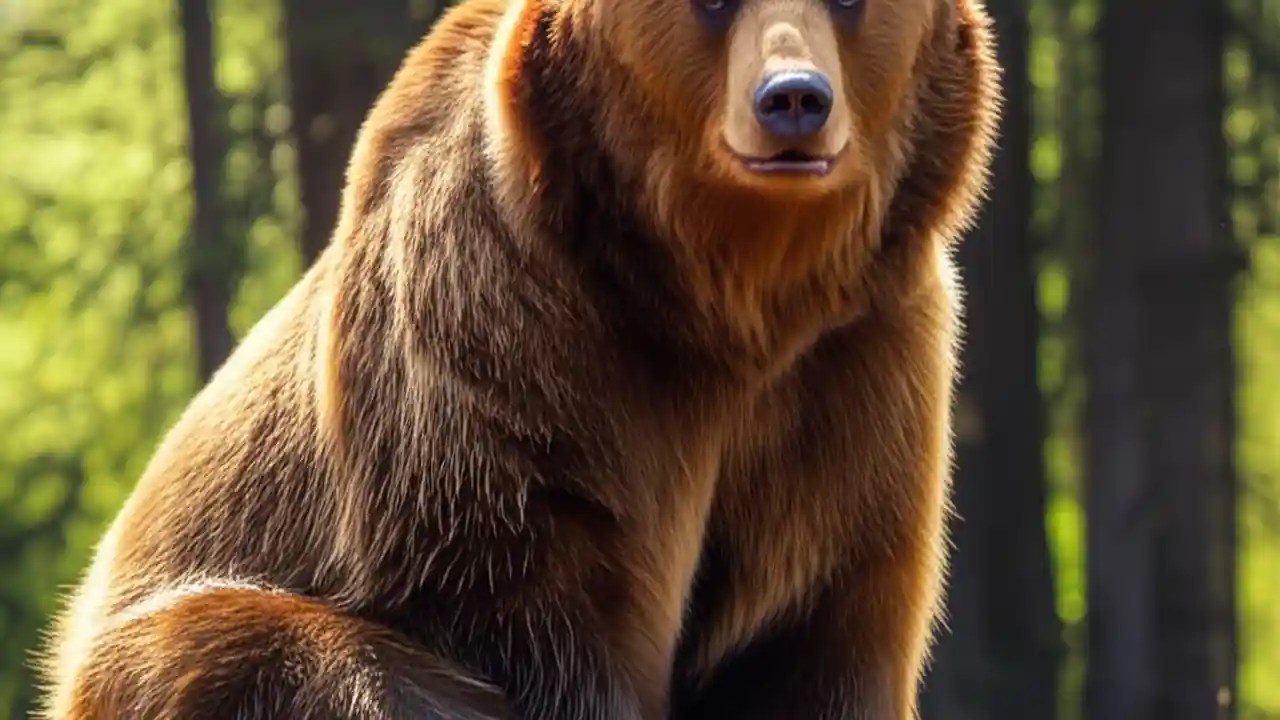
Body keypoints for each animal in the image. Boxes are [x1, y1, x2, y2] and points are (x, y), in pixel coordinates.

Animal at [40, 0, 998, 717]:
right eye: (712, 1)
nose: (793, 99)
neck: (727, 301)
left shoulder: (856, 372)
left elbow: (811, 620)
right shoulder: (501, 318)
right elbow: (529, 598)